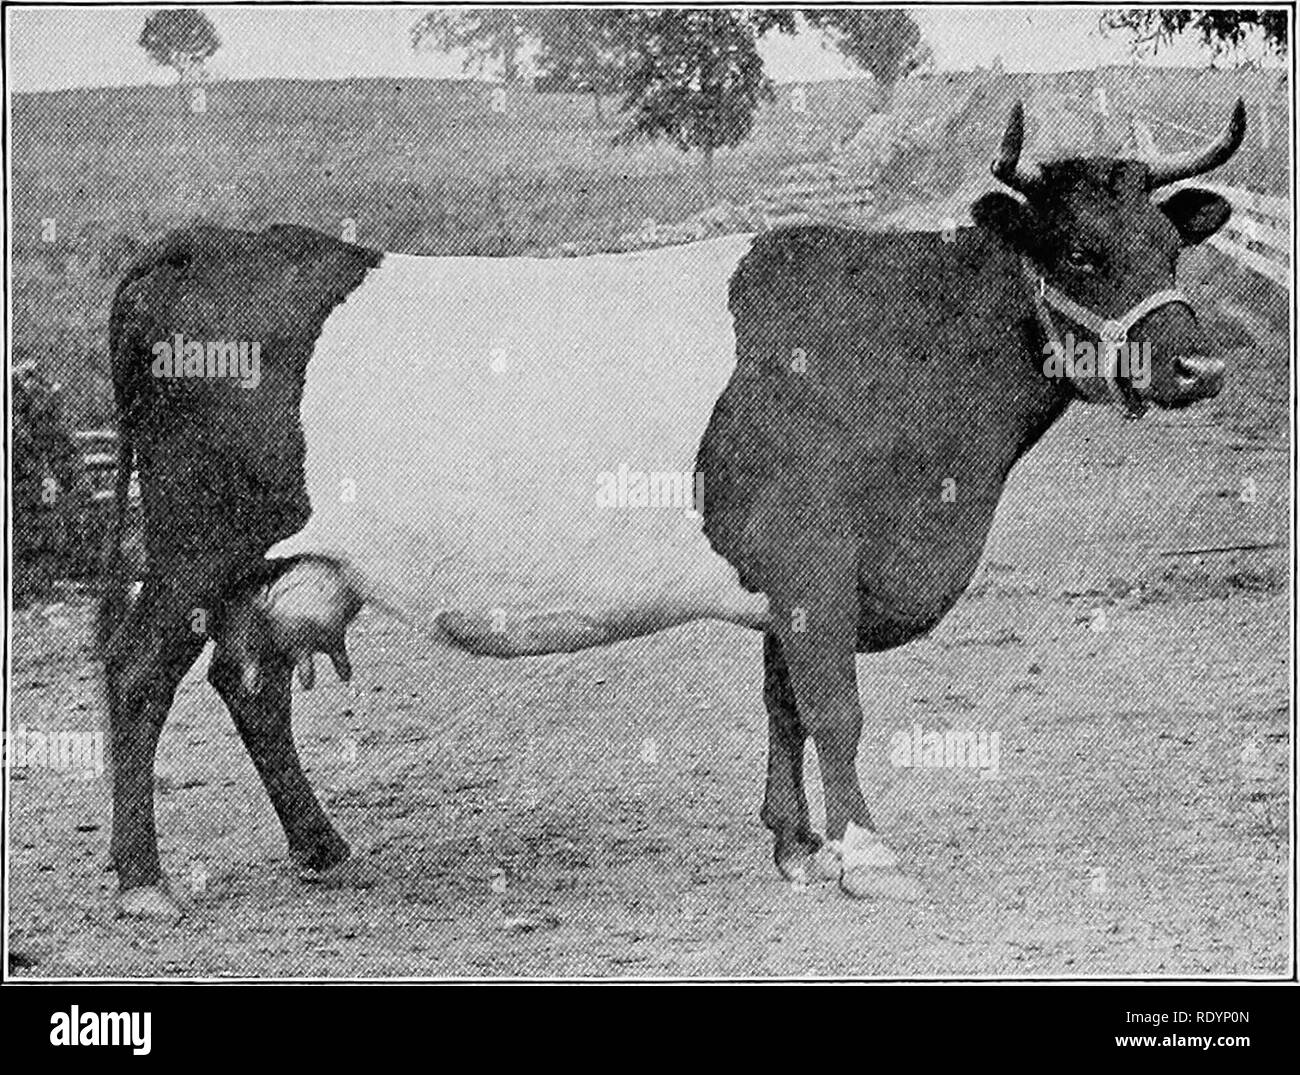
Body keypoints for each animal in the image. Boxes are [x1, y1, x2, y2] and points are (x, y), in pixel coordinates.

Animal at [98, 100, 1245, 920]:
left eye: (1169, 248)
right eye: (1082, 253)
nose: (1198, 366)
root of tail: (195, 244)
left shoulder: (793, 577)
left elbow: (784, 703)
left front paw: (796, 847)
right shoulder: (816, 560)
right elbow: (835, 706)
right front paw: (866, 853)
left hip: (270, 567)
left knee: (250, 684)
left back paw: (322, 849)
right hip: (196, 543)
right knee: (139, 670)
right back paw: (142, 882)